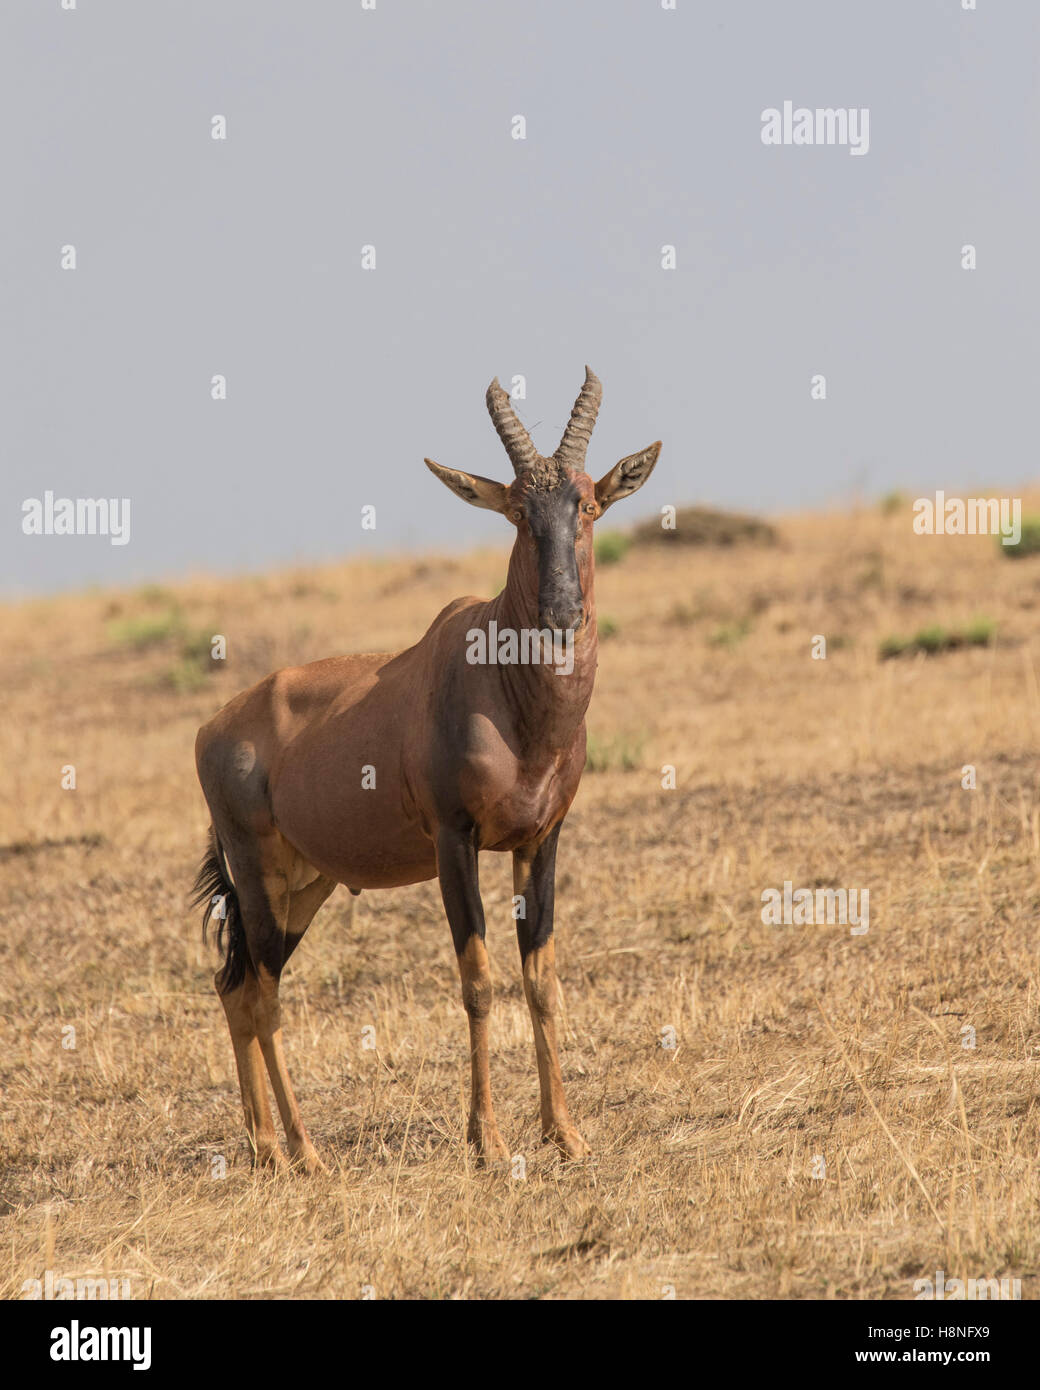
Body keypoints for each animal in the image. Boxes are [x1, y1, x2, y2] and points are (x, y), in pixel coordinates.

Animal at [193, 368, 660, 1172]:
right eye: (515, 510)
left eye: (590, 504)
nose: (563, 613)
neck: (507, 690)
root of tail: (212, 728)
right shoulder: (454, 839)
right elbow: (479, 982)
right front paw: (487, 1141)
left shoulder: (542, 840)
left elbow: (542, 981)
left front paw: (565, 1133)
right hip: (256, 875)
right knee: (261, 993)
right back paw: (305, 1153)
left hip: (305, 885)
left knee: (236, 985)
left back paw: (266, 1149)